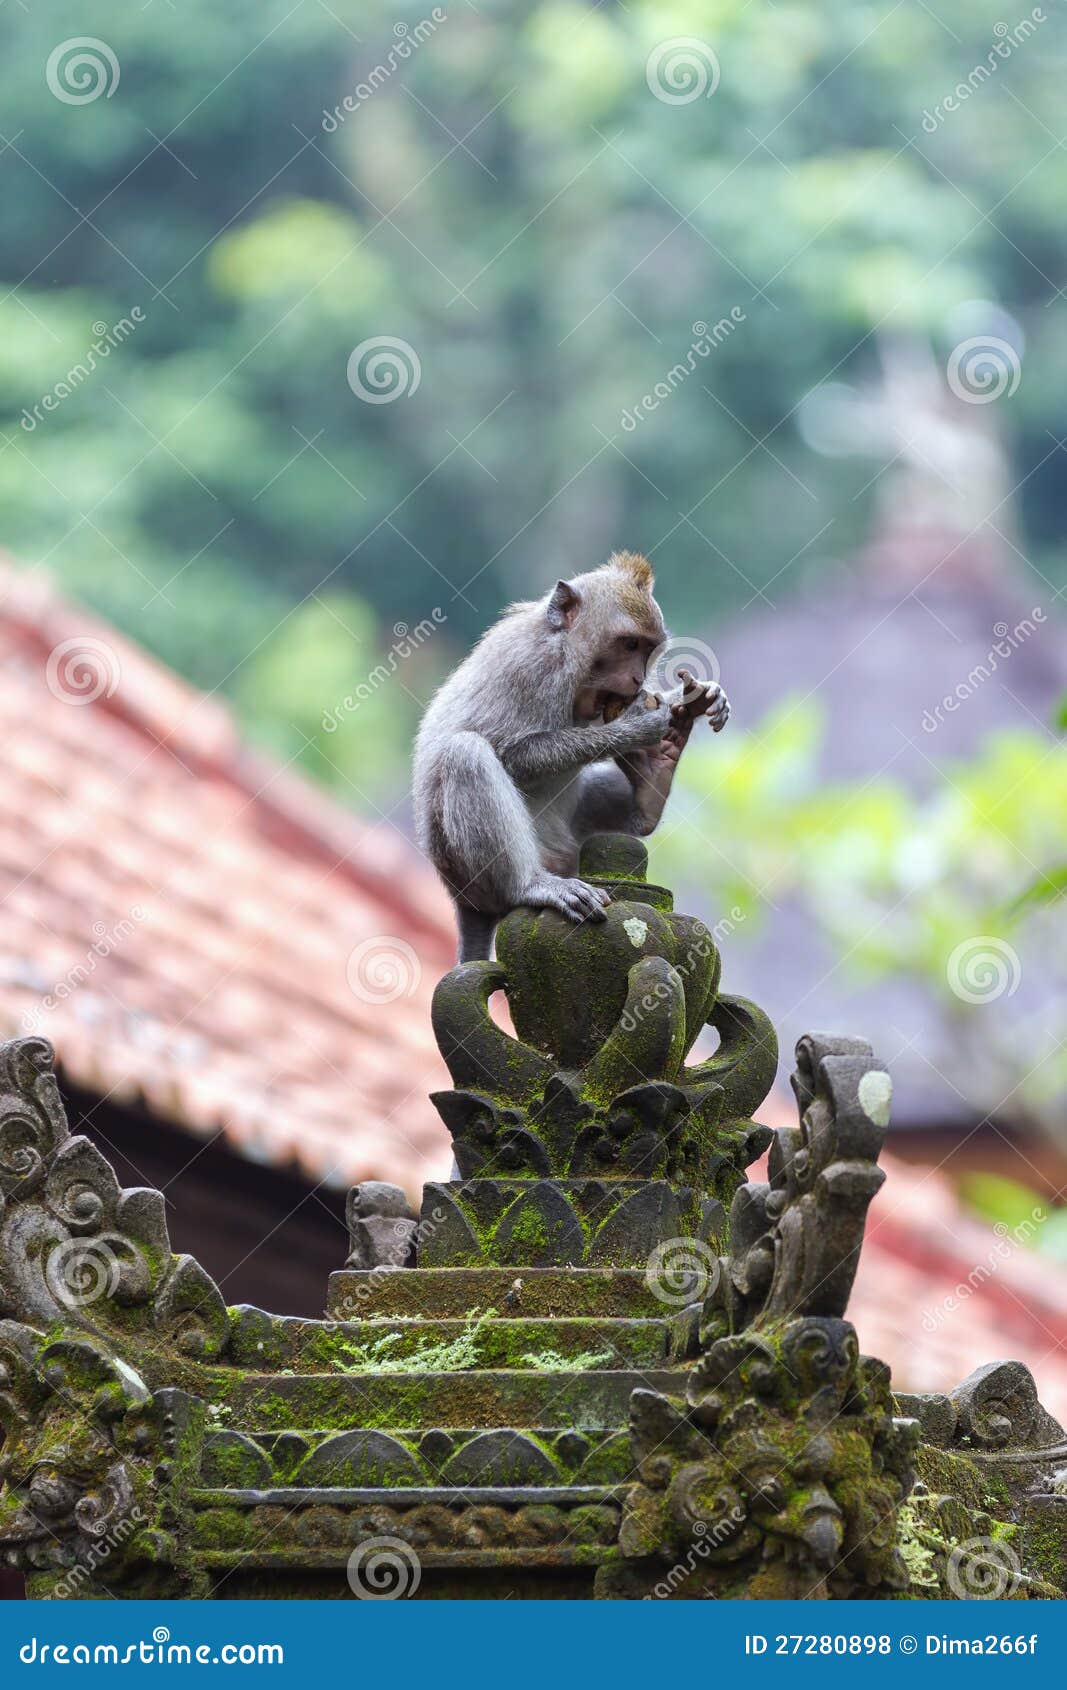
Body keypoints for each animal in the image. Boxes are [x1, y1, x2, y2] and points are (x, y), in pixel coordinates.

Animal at [413, 551, 729, 962]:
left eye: (647, 649)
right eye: (629, 645)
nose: (637, 679)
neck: (562, 649)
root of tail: (463, 903)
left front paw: (692, 698)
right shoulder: (530, 668)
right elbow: (512, 754)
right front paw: (634, 728)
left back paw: (651, 787)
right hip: (467, 871)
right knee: (465, 754)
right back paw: (530, 885)